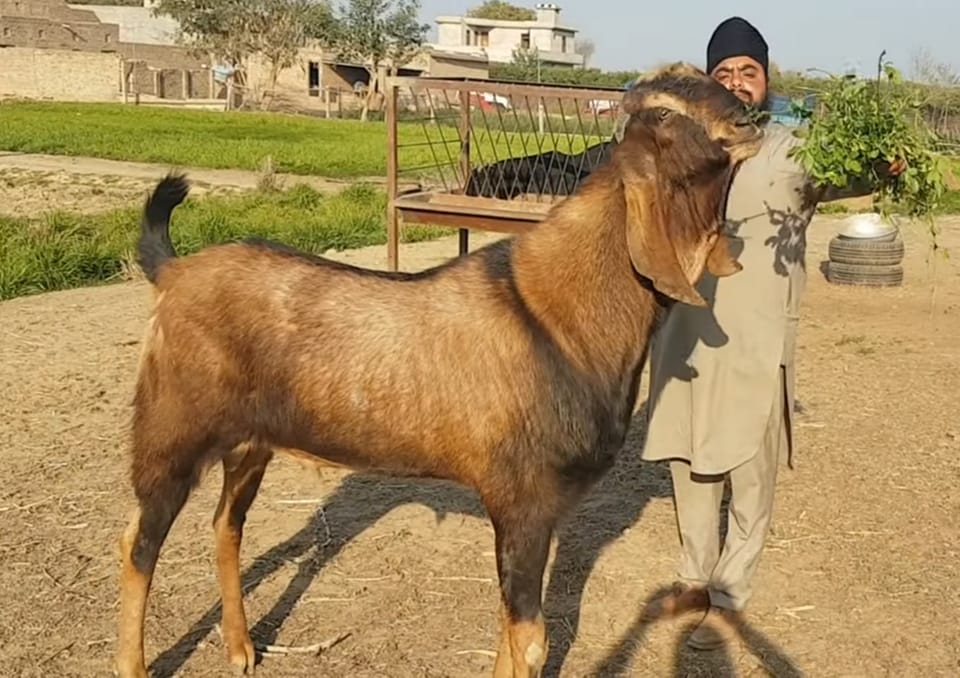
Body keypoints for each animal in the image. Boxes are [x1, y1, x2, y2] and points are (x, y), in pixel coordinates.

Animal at [113, 62, 762, 678]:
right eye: (666, 114)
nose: (750, 117)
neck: (559, 314)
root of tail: (173, 272)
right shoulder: (523, 498)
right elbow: (531, 640)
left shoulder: (534, 514)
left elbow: (509, 628)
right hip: (172, 429)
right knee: (138, 540)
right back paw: (135, 662)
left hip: (250, 442)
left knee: (226, 525)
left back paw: (240, 649)